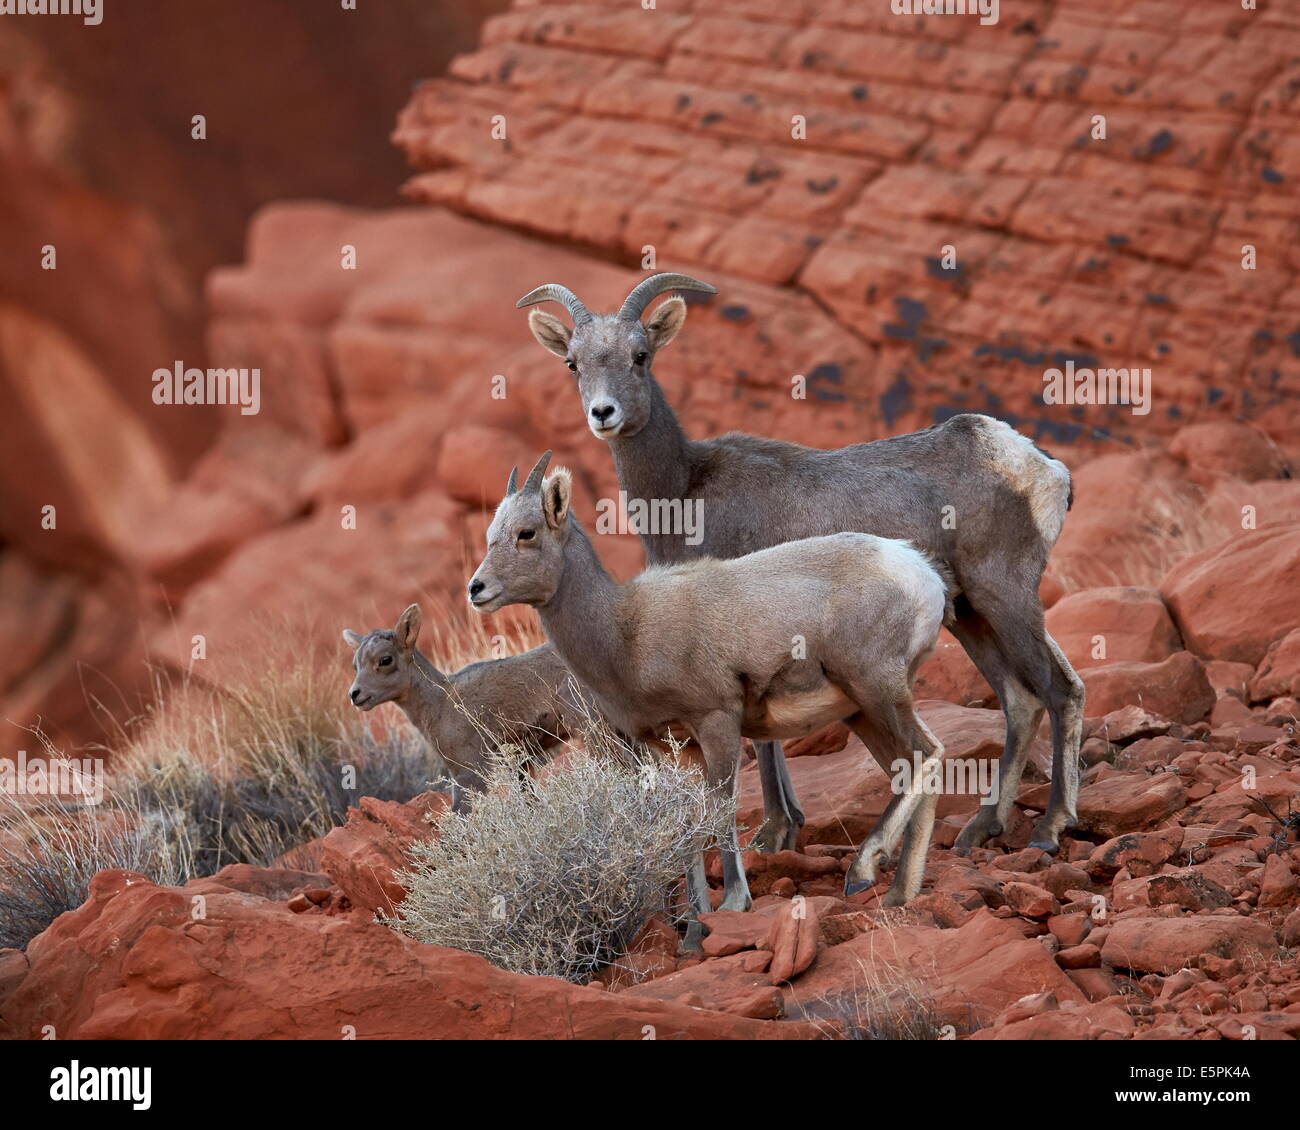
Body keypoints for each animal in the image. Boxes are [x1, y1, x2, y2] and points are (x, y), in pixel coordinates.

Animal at [343, 604, 590, 811]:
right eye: (356, 665)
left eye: (385, 660)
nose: (355, 695)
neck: (439, 704)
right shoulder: (520, 763)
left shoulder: (469, 772)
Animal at [467, 452, 954, 936]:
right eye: (491, 536)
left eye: (526, 533)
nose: (477, 589)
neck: (627, 632)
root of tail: (920, 572)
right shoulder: (674, 748)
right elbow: (685, 824)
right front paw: (691, 929)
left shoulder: (717, 723)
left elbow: (721, 812)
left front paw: (734, 903)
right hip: (861, 711)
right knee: (909, 766)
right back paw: (898, 893)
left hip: (876, 690)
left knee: (929, 752)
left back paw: (863, 869)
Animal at [517, 275, 1085, 861]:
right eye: (574, 363)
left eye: (640, 355)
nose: (603, 414)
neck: (685, 490)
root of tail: (1036, 463)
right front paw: (787, 826)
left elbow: (763, 744)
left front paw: (773, 833)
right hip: (970, 613)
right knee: (1020, 699)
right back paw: (982, 828)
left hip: (1003, 596)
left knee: (1059, 690)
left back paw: (1049, 828)